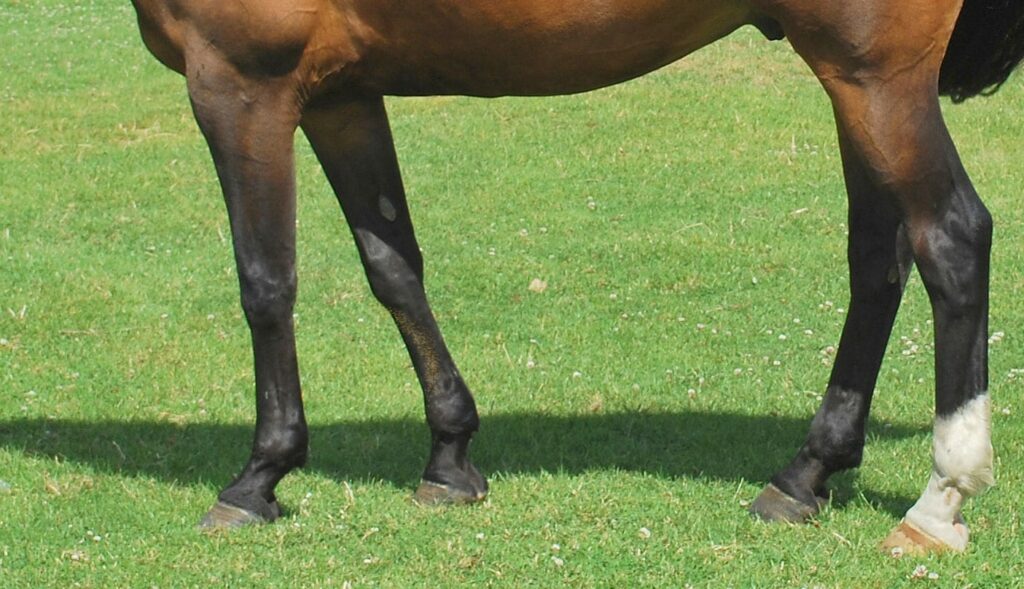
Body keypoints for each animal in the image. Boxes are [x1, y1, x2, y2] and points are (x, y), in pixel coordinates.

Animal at [126, 0, 1024, 553]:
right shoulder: (339, 95)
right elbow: (393, 266)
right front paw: (449, 453)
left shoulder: (242, 84)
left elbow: (265, 281)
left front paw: (260, 475)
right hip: (853, 82)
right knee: (877, 259)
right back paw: (804, 474)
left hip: (875, 79)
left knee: (951, 240)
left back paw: (941, 496)